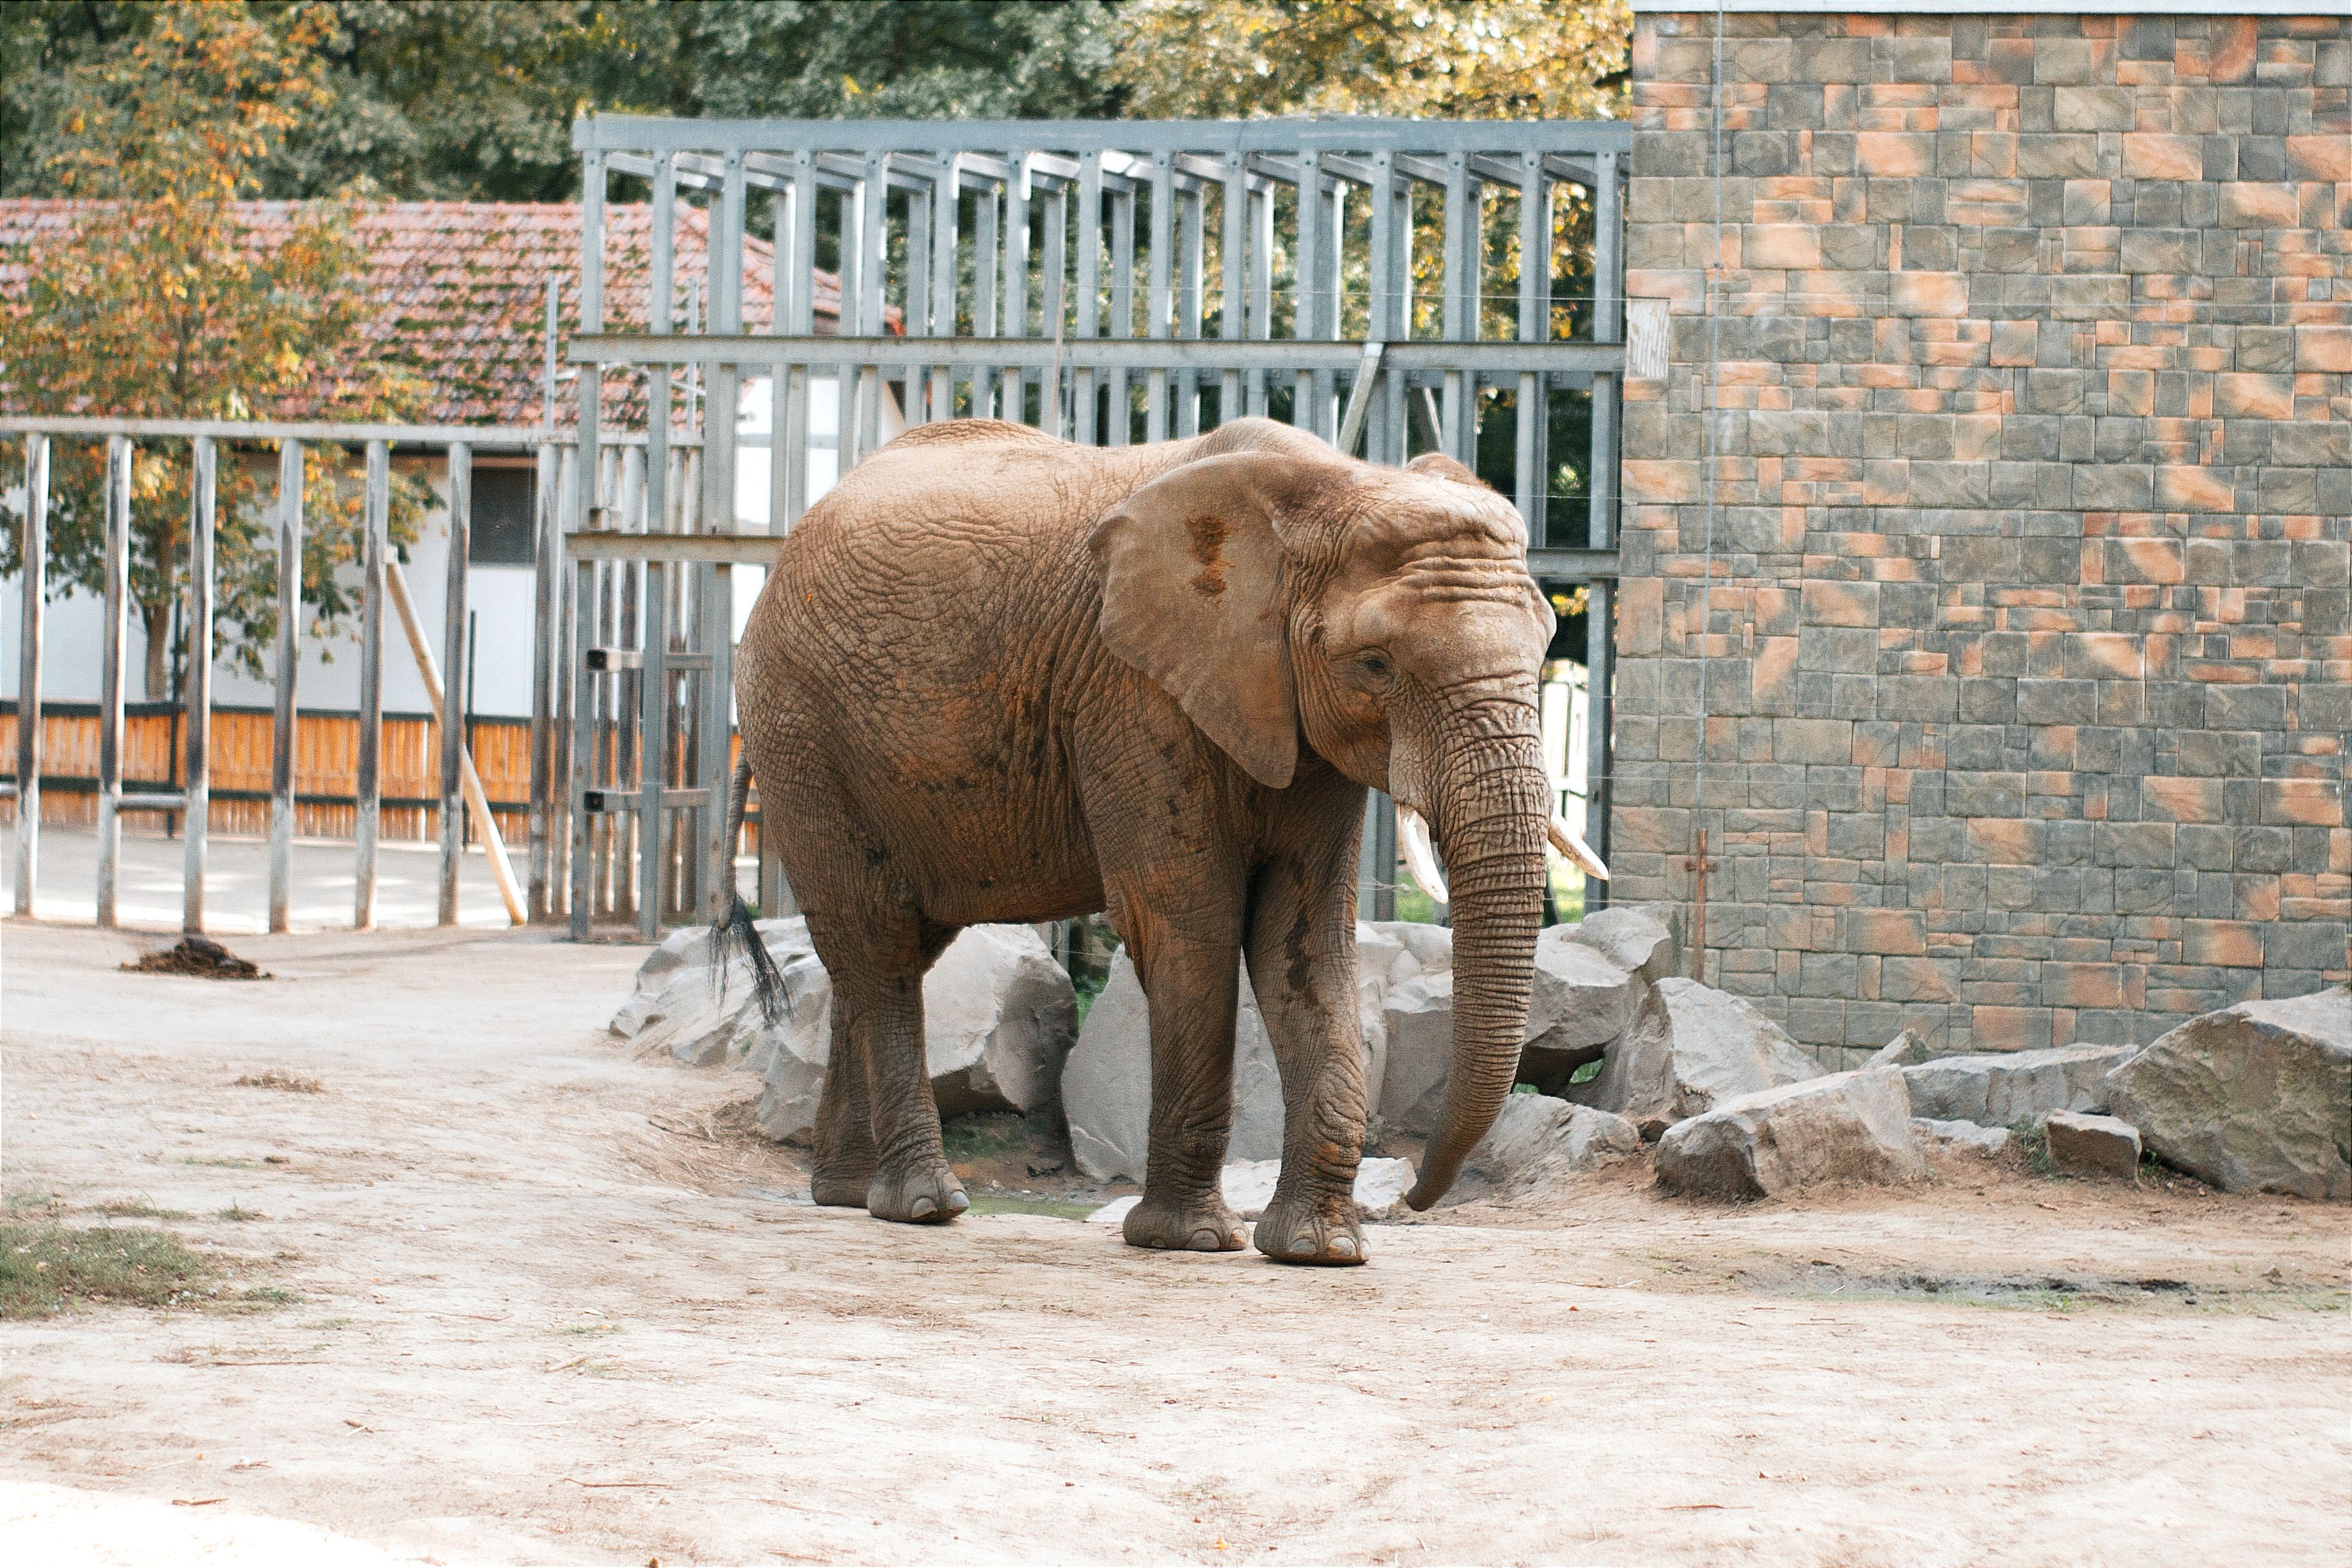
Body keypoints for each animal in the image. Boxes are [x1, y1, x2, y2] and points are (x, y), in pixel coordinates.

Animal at [718, 415, 1591, 1265]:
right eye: (1374, 663)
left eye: (1544, 646)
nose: (1414, 1194)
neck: (1325, 491)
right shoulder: (1129, 690)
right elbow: (1188, 923)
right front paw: (1189, 1240)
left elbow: (1303, 940)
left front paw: (1321, 1251)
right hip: (801, 732)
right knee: (877, 943)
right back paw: (924, 1205)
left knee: (883, 950)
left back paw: (844, 1194)